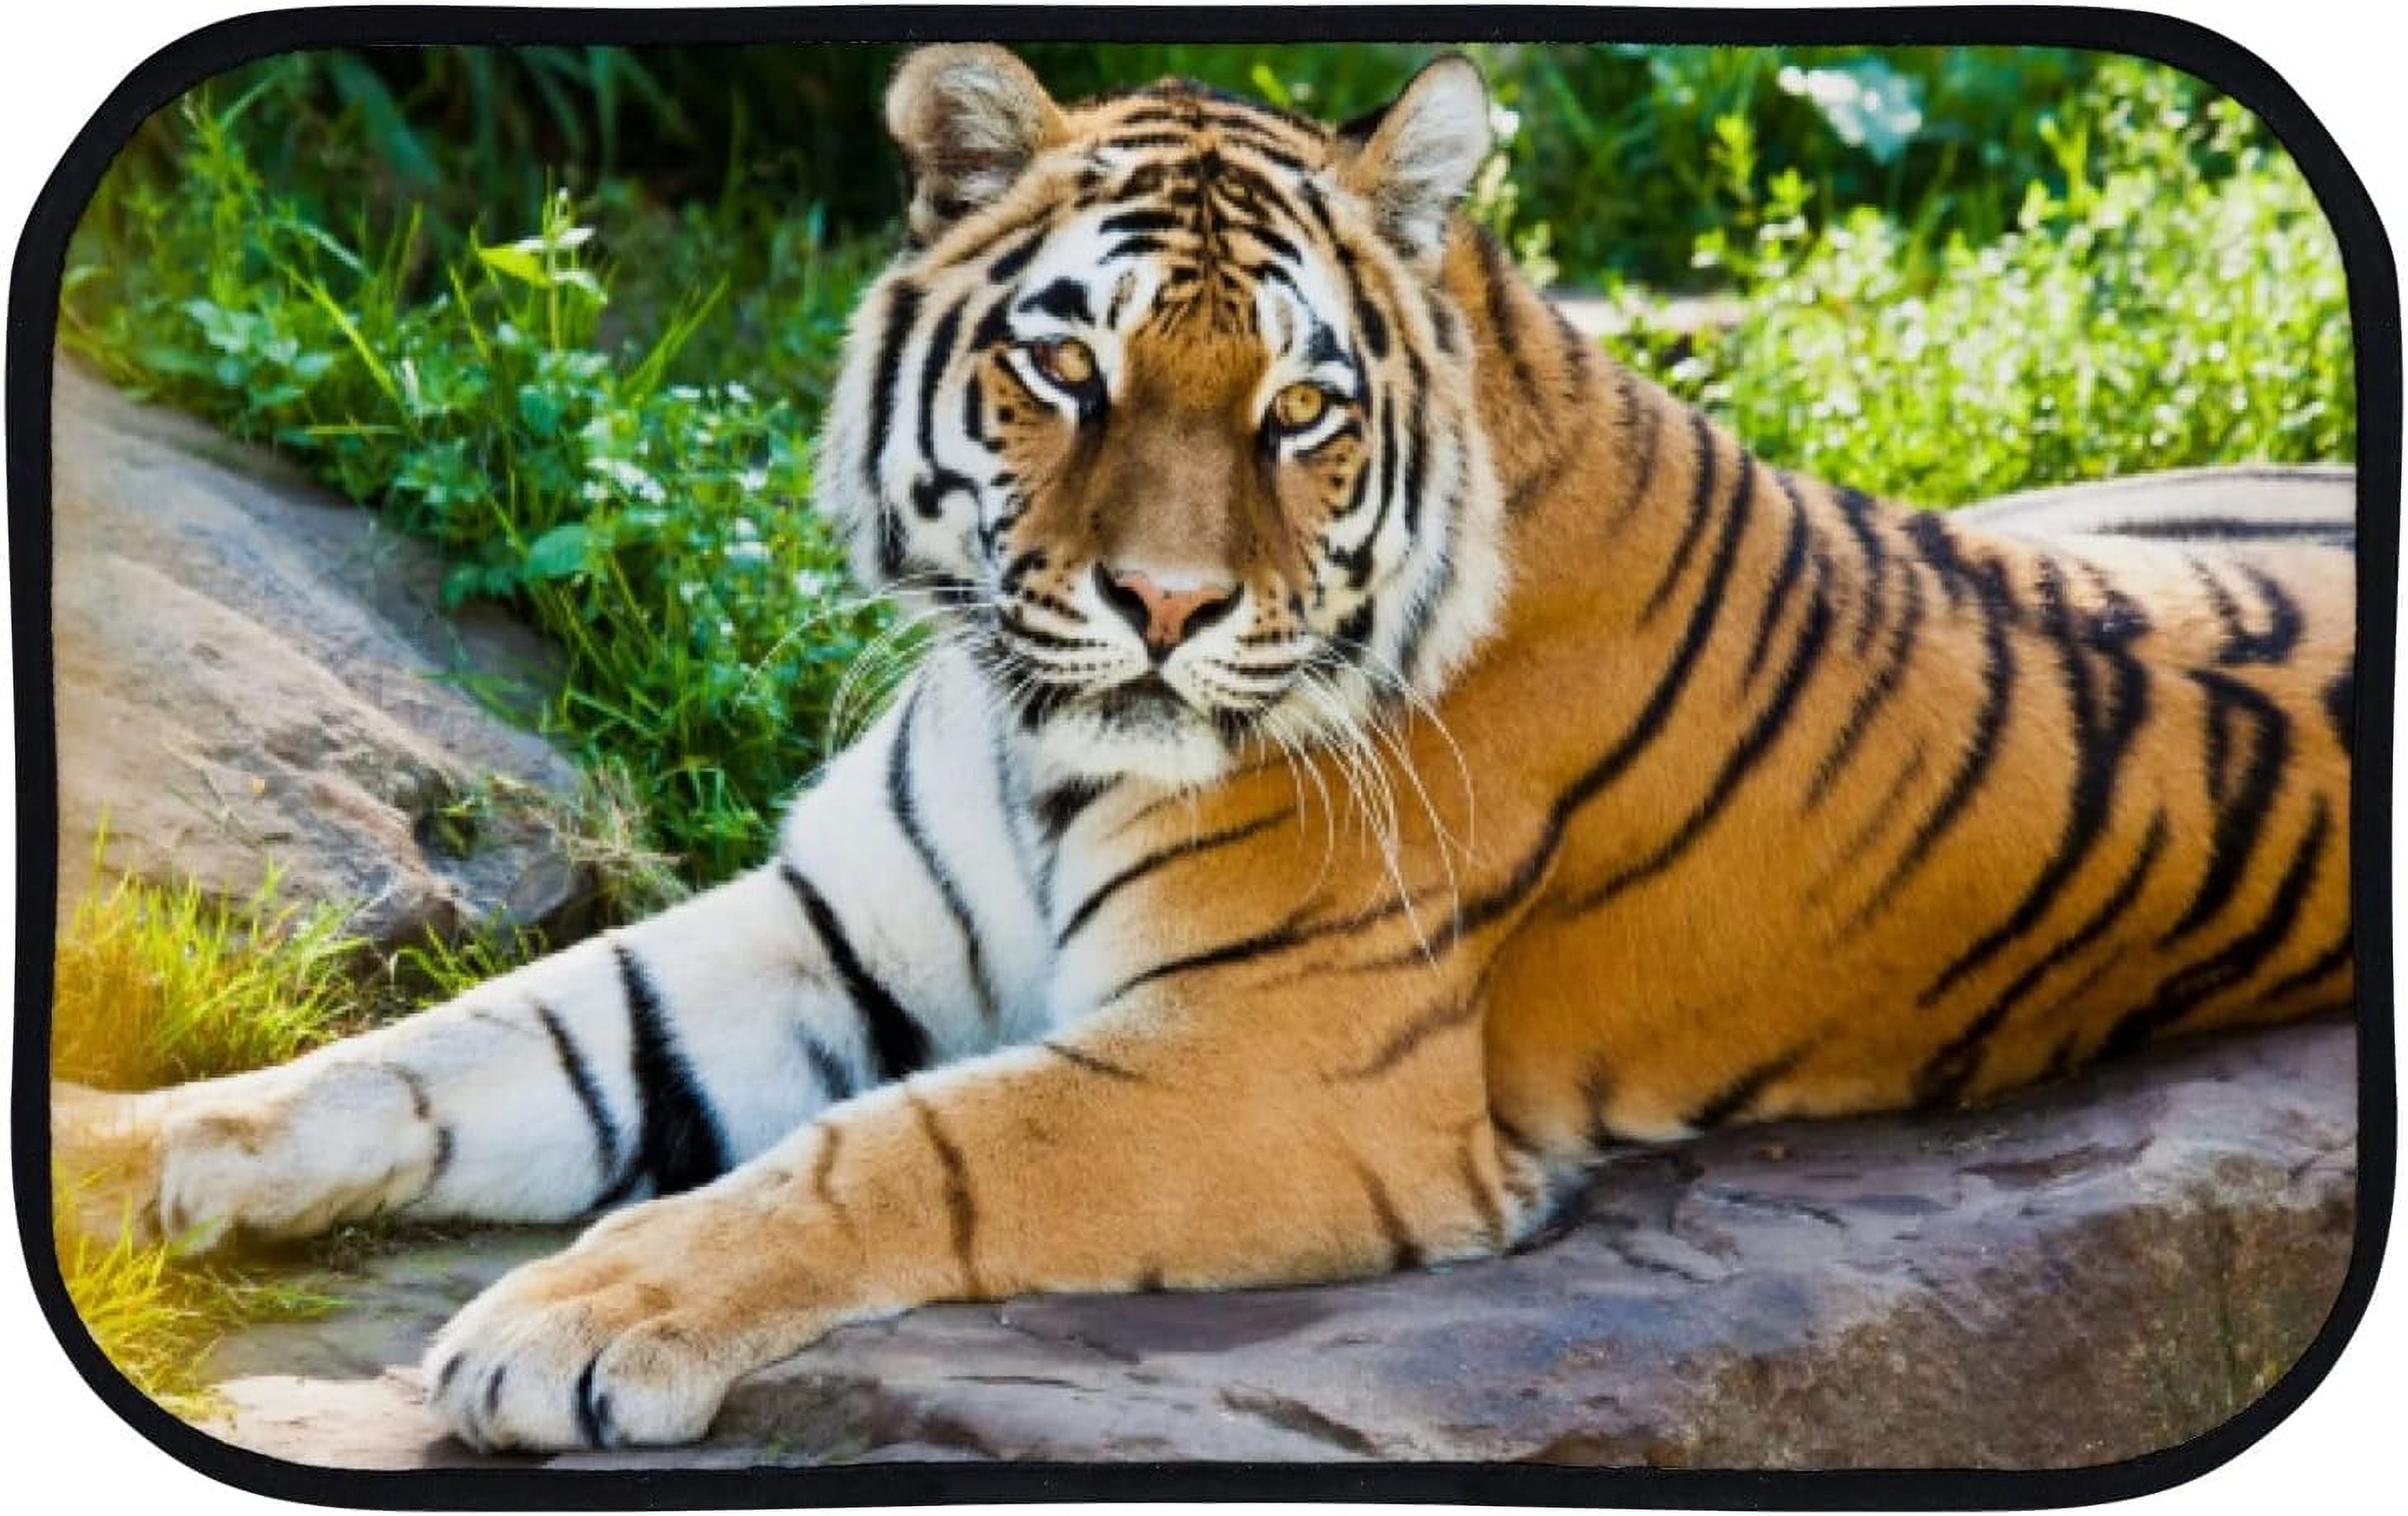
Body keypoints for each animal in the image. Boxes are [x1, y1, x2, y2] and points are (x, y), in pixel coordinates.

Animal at [50, 45, 2355, 1453]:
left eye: (1299, 411)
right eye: (1065, 369)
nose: (1161, 606)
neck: (1031, 736)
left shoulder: (1279, 1066)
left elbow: (901, 1148)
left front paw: (567, 1323)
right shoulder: (819, 929)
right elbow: (426, 1057)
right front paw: (97, 1152)